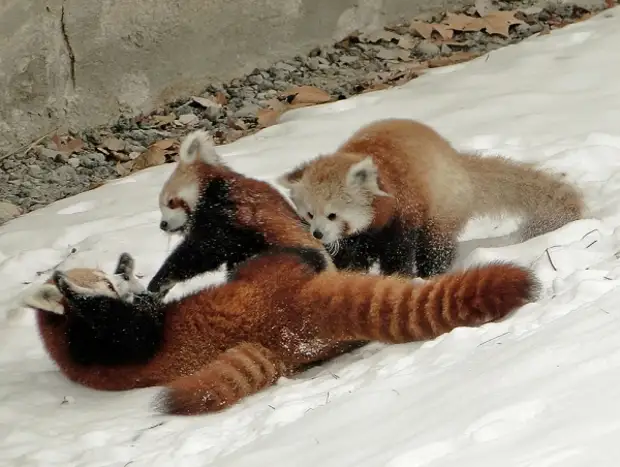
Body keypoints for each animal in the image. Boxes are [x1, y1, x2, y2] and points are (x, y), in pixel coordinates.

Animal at [21, 249, 540, 416]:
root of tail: (292, 317)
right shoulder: (111, 343)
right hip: (270, 273)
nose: (121, 270)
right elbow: (140, 330)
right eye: (103, 284)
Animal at [148, 128, 332, 296]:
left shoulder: (230, 211)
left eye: (170, 202)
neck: (211, 188)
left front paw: (160, 281)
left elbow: (205, 249)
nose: (163, 225)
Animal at [278, 119, 584, 280]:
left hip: (444, 206)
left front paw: (399, 277)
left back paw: (431, 274)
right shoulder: (356, 239)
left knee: (436, 245)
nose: (317, 234)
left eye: (332, 215)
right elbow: (349, 256)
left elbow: (398, 252)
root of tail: (459, 162)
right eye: (308, 215)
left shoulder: (403, 211)